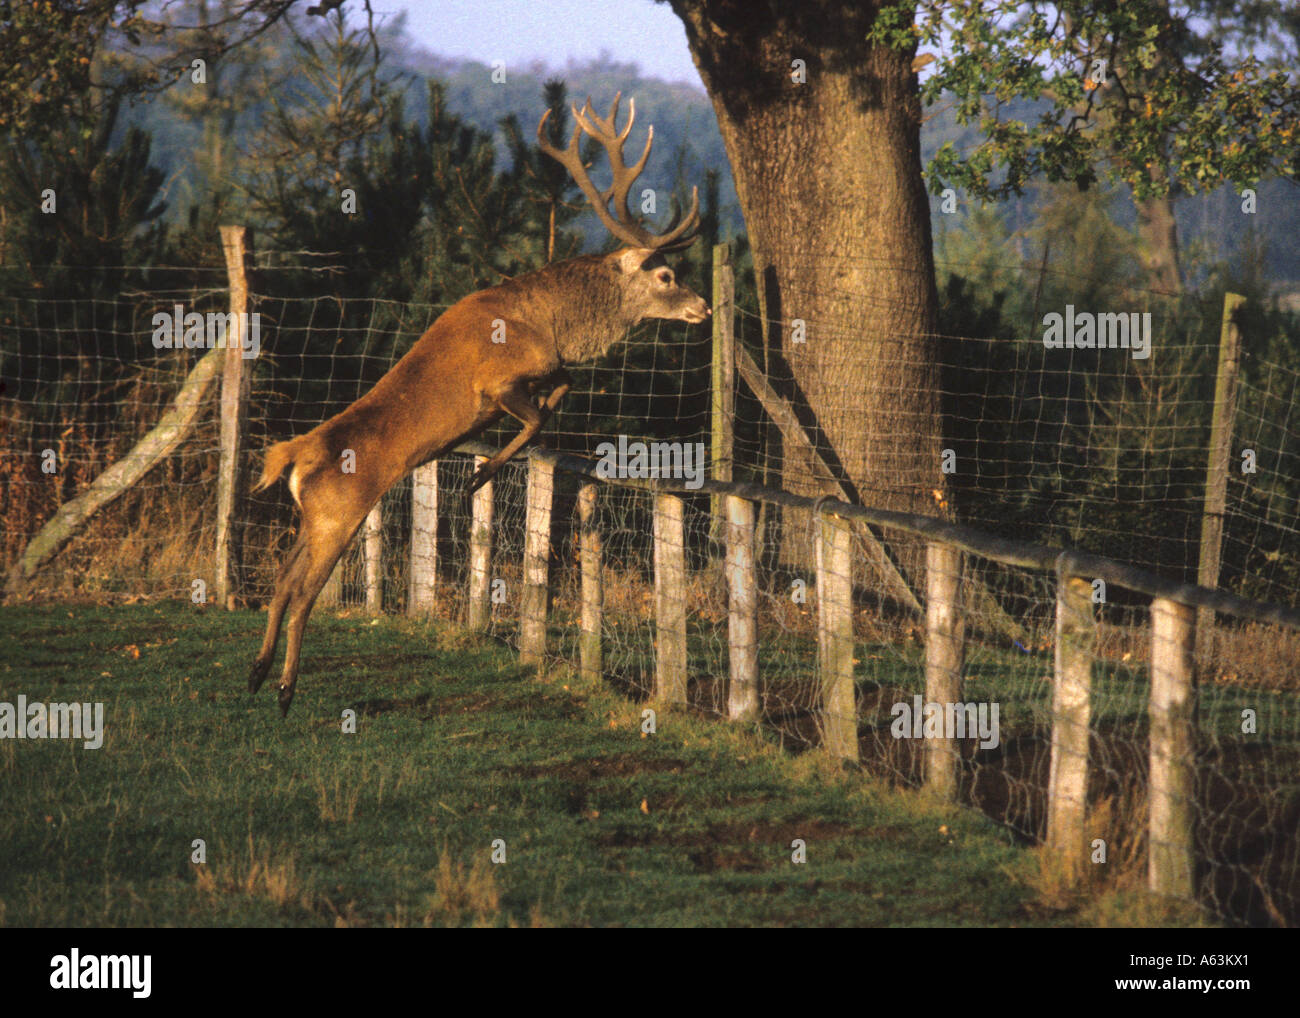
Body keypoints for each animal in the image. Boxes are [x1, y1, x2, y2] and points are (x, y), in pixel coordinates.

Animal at [248, 94, 710, 716]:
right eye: (665, 274)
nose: (702, 307)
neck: (548, 321)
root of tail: (292, 459)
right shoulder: (498, 382)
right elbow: (541, 412)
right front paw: (478, 476)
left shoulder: (541, 370)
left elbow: (559, 389)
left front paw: (482, 471)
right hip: (339, 514)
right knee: (302, 592)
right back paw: (284, 689)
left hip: (308, 515)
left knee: (279, 579)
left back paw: (256, 672)